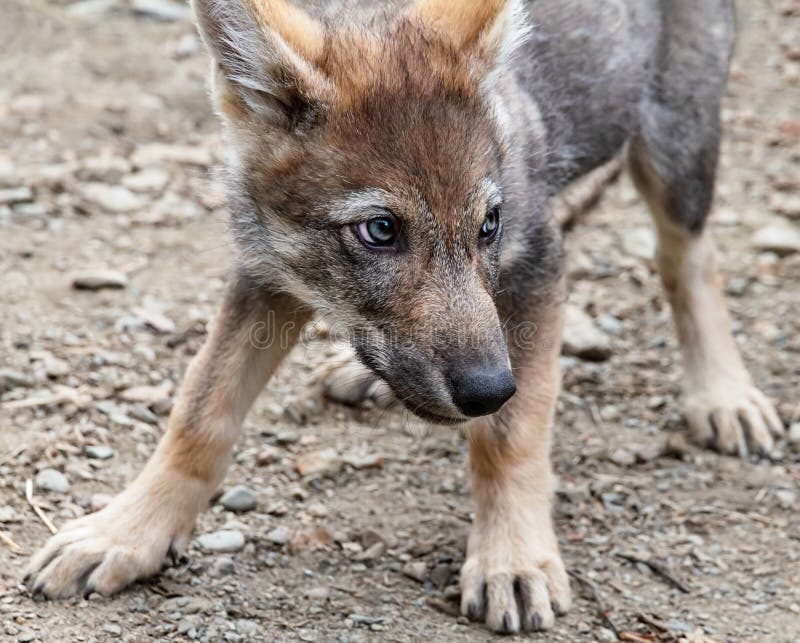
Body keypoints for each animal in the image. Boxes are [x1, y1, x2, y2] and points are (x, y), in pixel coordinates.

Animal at [25, 0, 785, 634]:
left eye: (487, 225)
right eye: (381, 230)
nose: (488, 387)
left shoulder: (532, 265)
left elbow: (511, 435)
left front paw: (512, 559)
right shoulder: (265, 271)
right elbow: (200, 411)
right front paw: (127, 531)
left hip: (677, 141)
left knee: (688, 256)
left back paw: (724, 395)